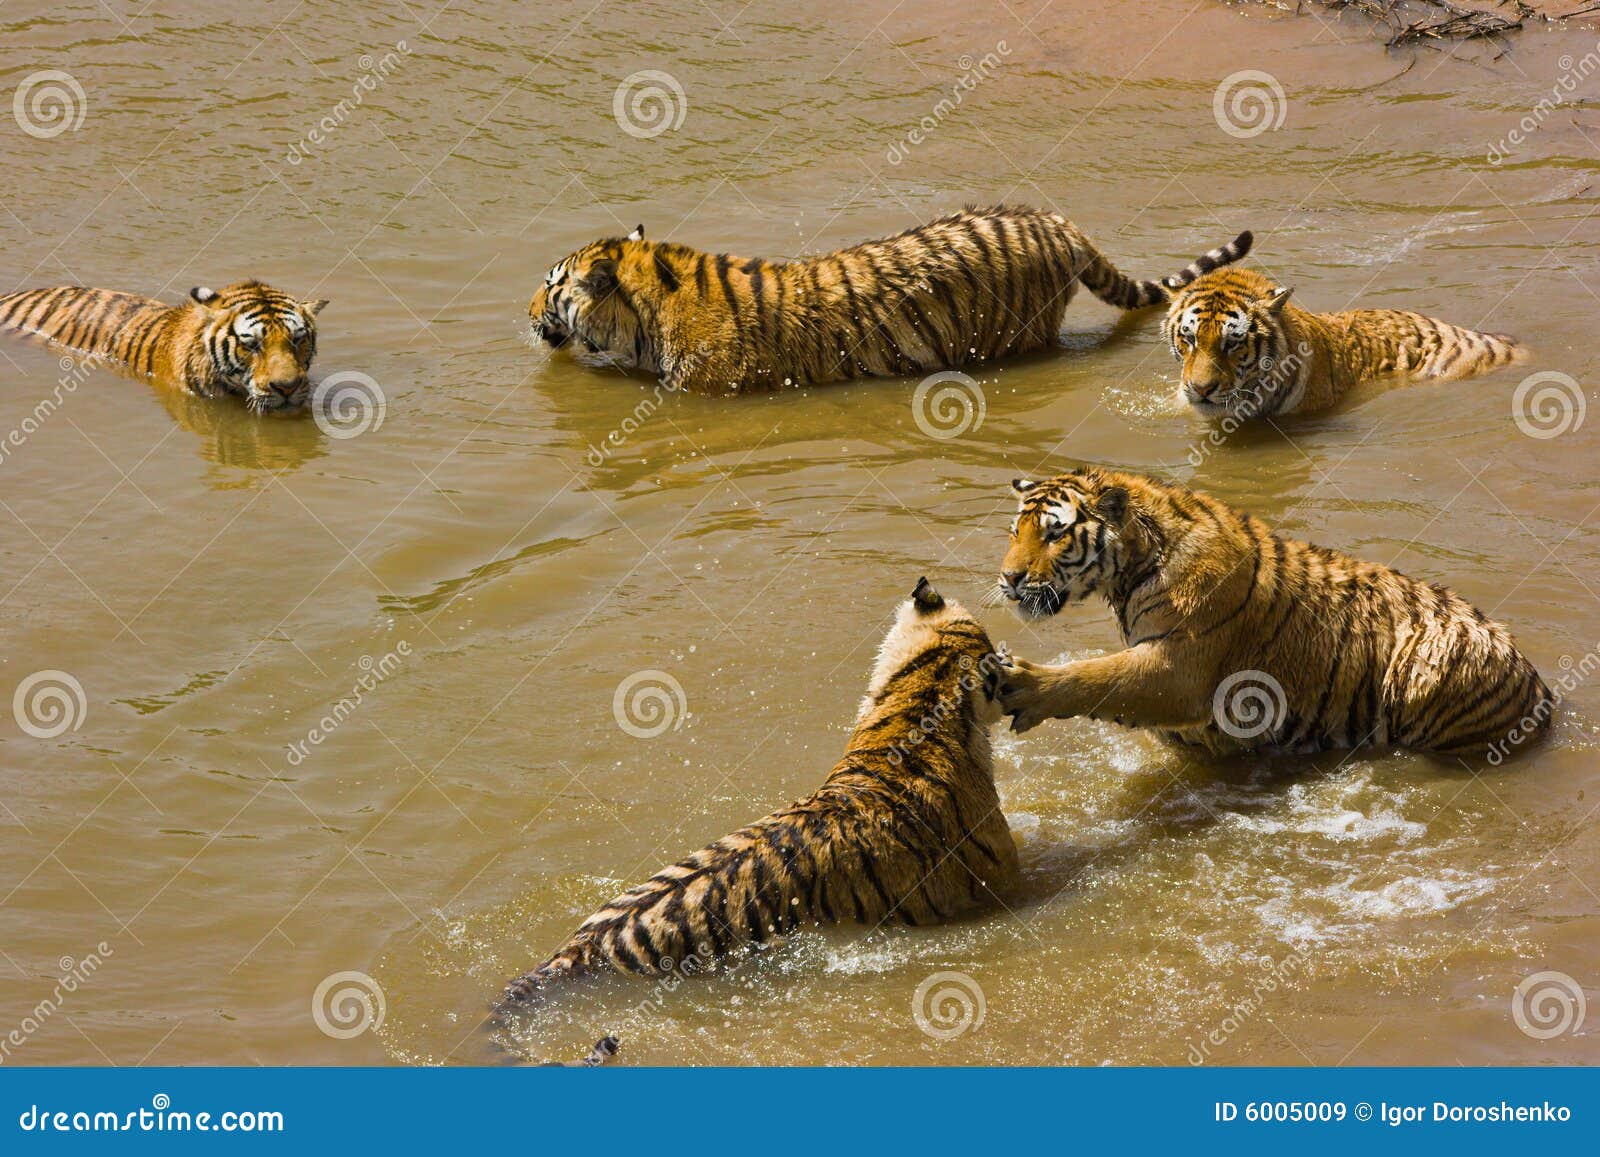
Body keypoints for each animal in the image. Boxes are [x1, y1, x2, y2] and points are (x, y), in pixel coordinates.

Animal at [992, 468, 1553, 759]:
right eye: (1015, 531)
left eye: (1055, 533)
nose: (1009, 578)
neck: (1131, 569)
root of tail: (1539, 686)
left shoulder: (1180, 670)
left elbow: (1097, 677)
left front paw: (1024, 684)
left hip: (1426, 667)